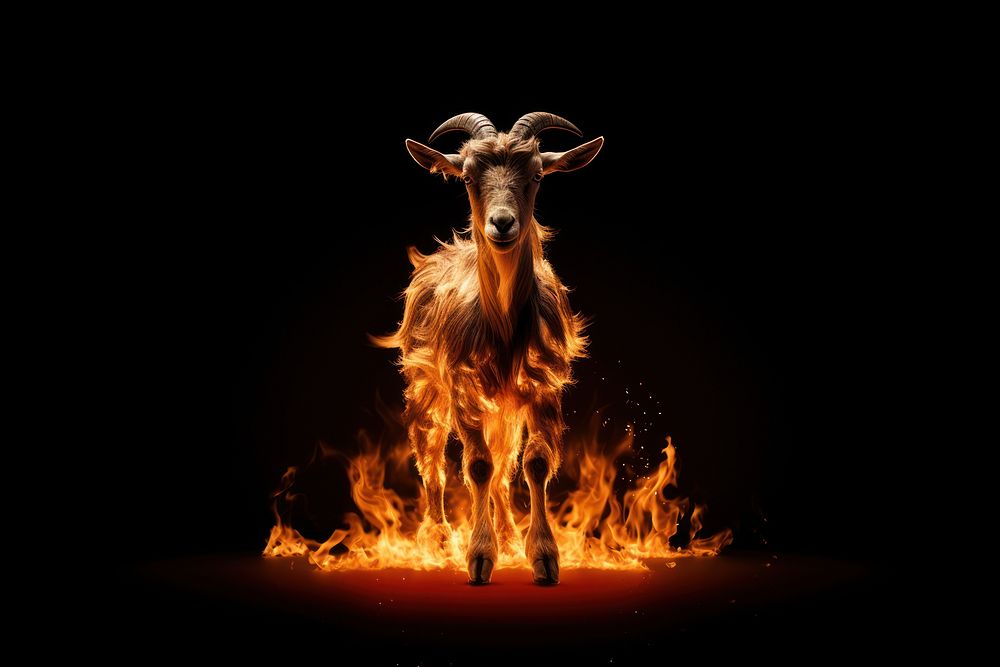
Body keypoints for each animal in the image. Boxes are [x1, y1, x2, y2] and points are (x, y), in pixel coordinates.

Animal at [373, 112, 603, 585]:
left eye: (536, 175)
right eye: (466, 177)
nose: (502, 223)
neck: (501, 330)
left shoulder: (544, 386)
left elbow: (534, 463)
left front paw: (542, 557)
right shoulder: (463, 387)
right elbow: (477, 465)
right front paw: (479, 558)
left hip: (504, 409)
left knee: (503, 465)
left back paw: (510, 537)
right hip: (425, 388)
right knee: (433, 463)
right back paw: (439, 540)